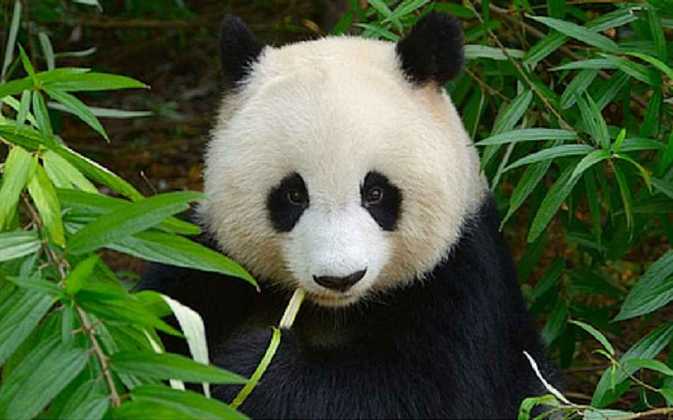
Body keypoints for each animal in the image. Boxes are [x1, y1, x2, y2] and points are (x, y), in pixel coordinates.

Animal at [139, 12, 558, 419]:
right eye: (293, 195)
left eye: (375, 193)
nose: (340, 278)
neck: (335, 310)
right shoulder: (211, 259)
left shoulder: (462, 281)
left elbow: (418, 392)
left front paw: (252, 364)